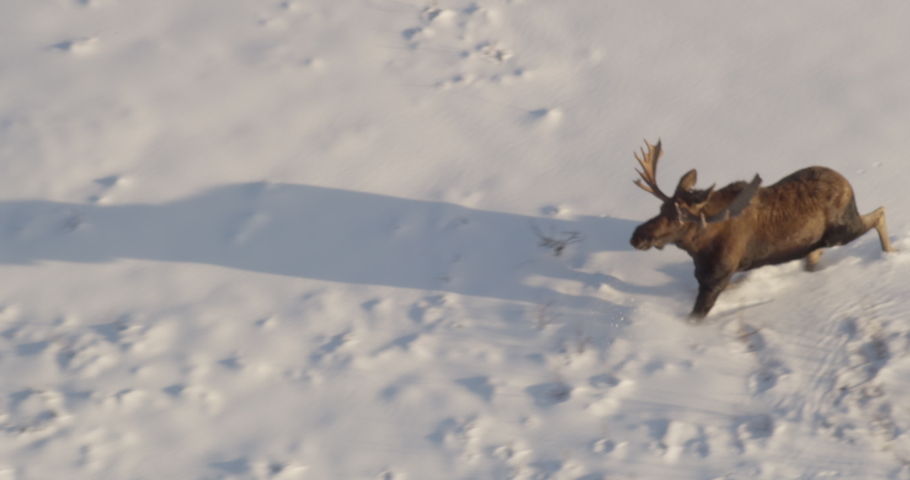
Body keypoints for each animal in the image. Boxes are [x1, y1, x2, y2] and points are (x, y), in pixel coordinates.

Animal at [629, 139, 895, 320]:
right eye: (661, 208)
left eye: (679, 220)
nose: (637, 236)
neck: (698, 248)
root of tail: (848, 183)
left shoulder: (716, 277)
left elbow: (695, 318)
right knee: (817, 251)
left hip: (843, 229)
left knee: (879, 213)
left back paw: (891, 253)